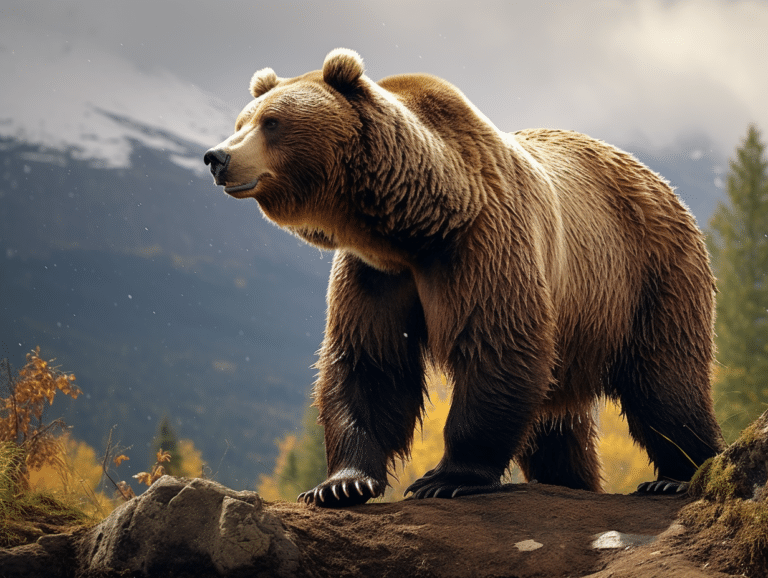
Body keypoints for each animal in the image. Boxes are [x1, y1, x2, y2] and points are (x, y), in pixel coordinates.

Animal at [204, 48, 725, 507]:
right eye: (242, 122)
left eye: (272, 122)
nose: (216, 157)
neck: (416, 224)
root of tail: (659, 181)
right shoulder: (375, 274)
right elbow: (369, 362)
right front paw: (341, 484)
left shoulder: (483, 245)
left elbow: (497, 344)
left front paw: (445, 478)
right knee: (560, 425)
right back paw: (573, 482)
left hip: (650, 272)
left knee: (665, 379)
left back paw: (679, 474)